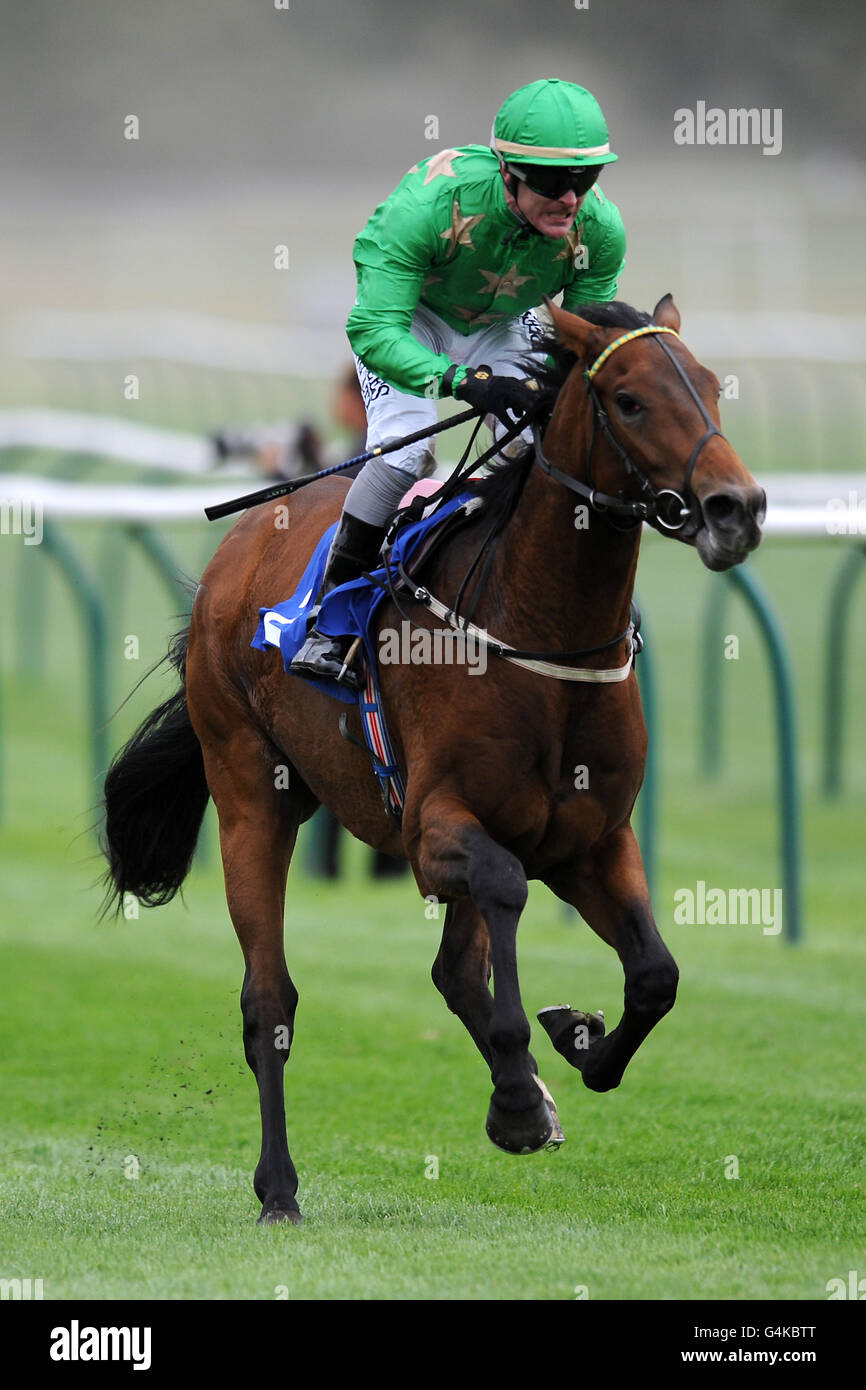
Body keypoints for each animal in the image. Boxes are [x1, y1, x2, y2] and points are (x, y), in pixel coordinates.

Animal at [102, 294, 766, 1225]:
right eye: (630, 400)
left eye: (710, 386)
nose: (738, 506)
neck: (538, 633)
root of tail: (234, 554)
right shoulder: (433, 830)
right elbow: (506, 891)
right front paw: (520, 1097)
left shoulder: (593, 840)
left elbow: (654, 976)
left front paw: (575, 1047)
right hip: (248, 792)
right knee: (268, 999)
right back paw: (280, 1189)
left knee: (454, 967)